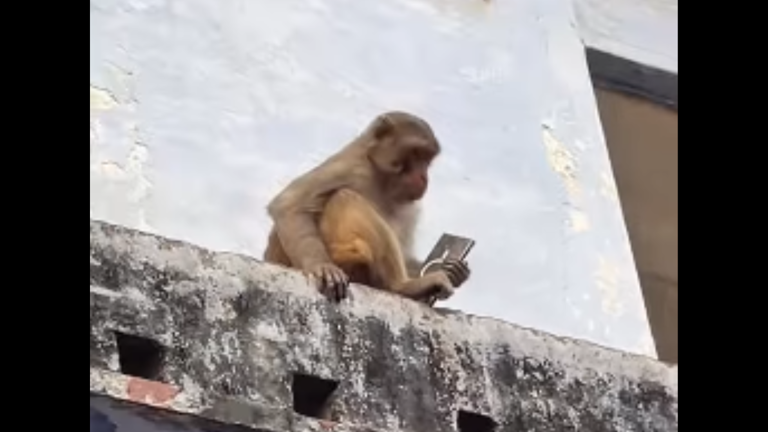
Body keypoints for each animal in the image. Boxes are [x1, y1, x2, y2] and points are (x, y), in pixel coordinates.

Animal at [263, 111, 471, 303]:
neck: (383, 179)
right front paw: (320, 266)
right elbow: (289, 204)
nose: (423, 177)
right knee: (345, 197)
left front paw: (455, 271)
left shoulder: (411, 206)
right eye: (416, 153)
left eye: (427, 159)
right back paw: (402, 286)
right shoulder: (351, 167)